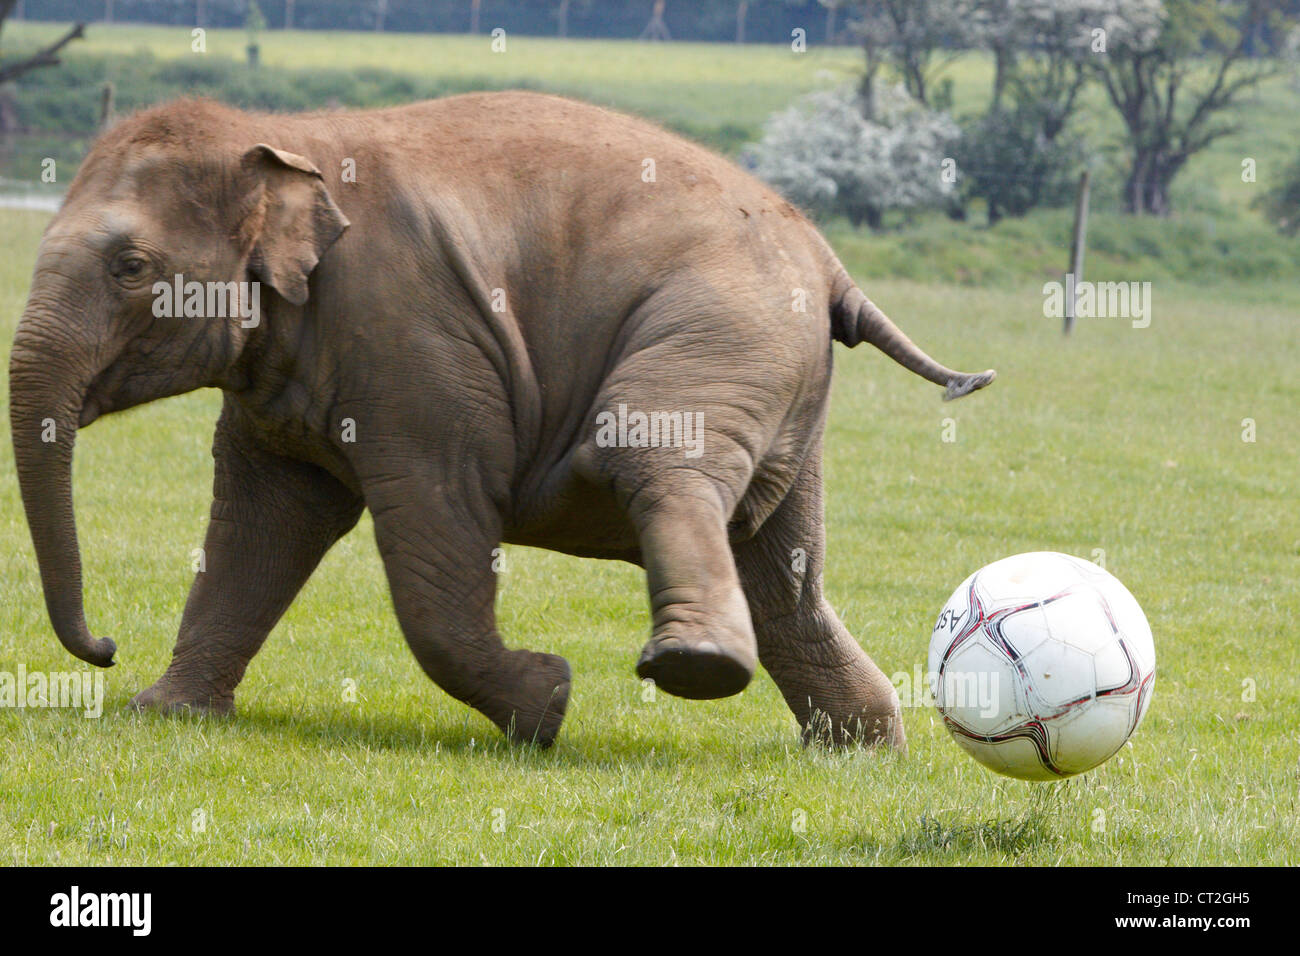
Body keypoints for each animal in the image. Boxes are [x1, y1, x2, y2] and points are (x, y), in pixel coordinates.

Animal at [9, 92, 994, 750]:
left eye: (131, 267)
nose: (103, 648)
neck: (290, 133)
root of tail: (830, 261)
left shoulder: (416, 348)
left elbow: (435, 524)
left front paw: (547, 706)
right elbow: (264, 520)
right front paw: (165, 714)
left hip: (725, 328)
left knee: (653, 456)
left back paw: (693, 670)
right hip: (783, 374)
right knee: (779, 560)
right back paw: (863, 747)